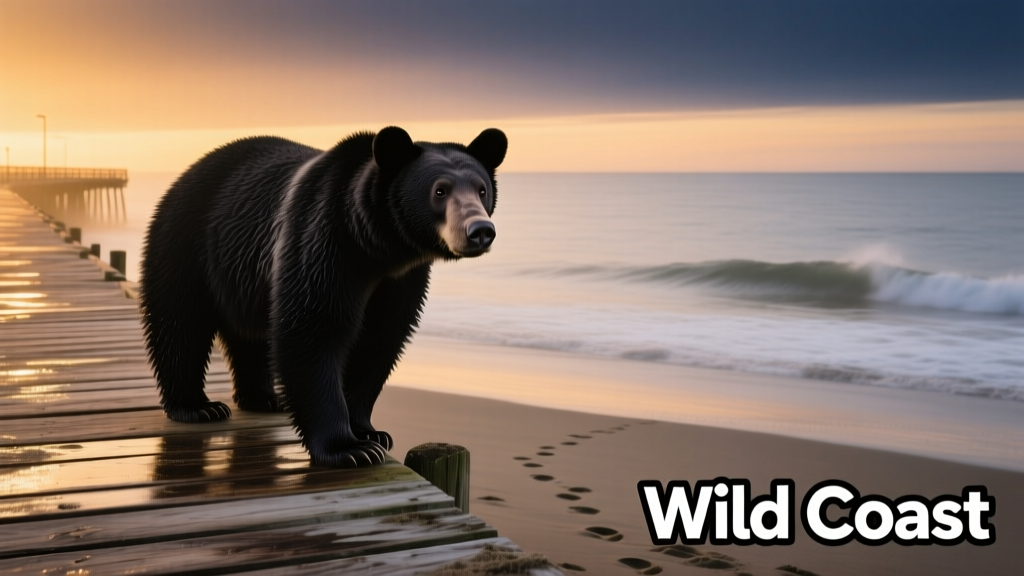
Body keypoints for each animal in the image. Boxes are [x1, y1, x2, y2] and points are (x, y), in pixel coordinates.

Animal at [139, 127, 507, 468]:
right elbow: (314, 328)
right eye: (440, 190)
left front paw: (370, 433)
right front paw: (348, 448)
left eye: (481, 189)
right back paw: (197, 406)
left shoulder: (401, 280)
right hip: (188, 242)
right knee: (180, 322)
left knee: (249, 335)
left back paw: (263, 398)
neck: (377, 246)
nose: (480, 231)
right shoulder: (323, 241)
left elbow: (379, 340)